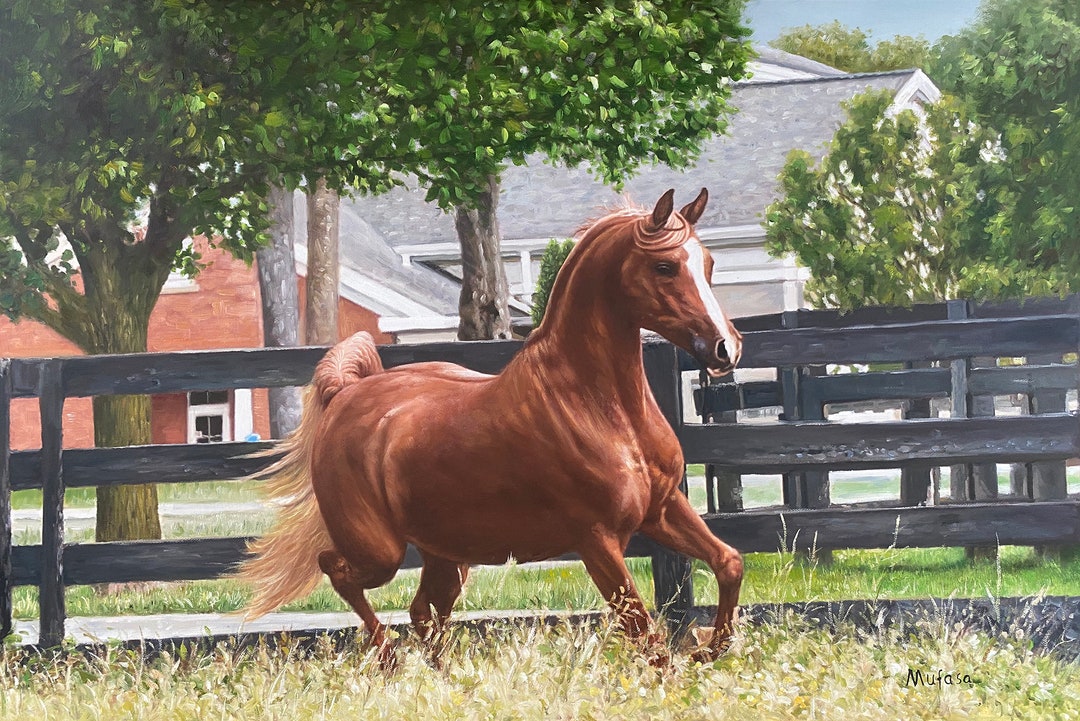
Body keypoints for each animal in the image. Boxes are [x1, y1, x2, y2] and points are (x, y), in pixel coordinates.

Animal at [237, 188, 744, 668]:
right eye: (664, 266)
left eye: (709, 263)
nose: (726, 349)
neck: (597, 409)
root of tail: (345, 394)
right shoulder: (597, 540)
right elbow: (645, 634)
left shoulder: (663, 508)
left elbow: (729, 562)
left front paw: (707, 649)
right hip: (380, 551)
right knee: (337, 570)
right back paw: (388, 660)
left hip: (448, 554)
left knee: (423, 611)